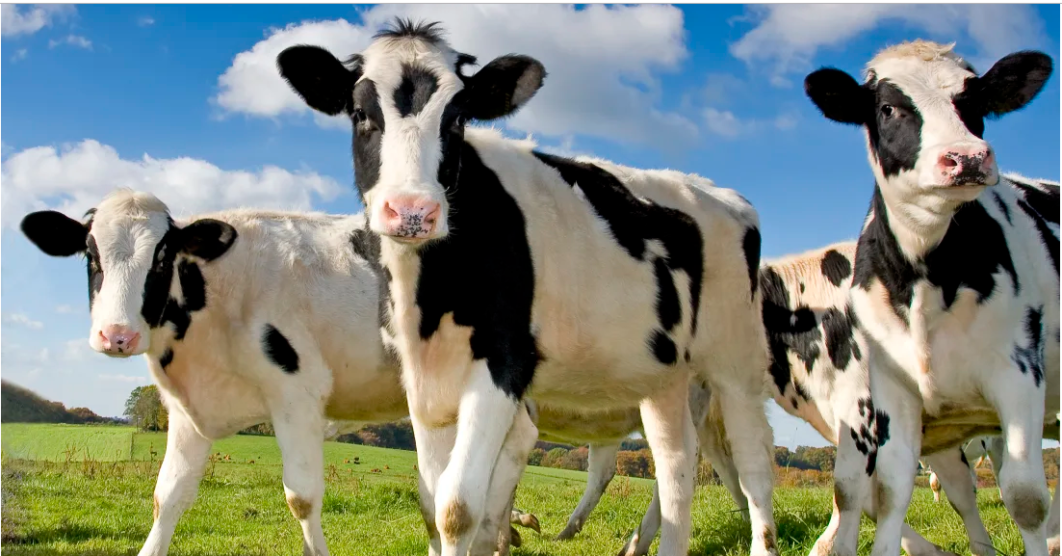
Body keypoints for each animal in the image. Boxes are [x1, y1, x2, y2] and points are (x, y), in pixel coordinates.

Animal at [277, 19, 778, 556]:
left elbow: (457, 508)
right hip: (665, 374)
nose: (412, 211)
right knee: (676, 465)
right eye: (360, 113)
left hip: (735, 360)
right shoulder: (420, 375)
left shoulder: (504, 364)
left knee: (752, 462)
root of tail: (722, 193)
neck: (432, 297)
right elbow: (431, 504)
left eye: (458, 118)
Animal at [804, 40, 1060, 556]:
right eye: (888, 108)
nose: (967, 158)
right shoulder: (892, 388)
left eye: (975, 101)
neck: (923, 274)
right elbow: (891, 490)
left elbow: (1025, 496)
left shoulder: (1020, 372)